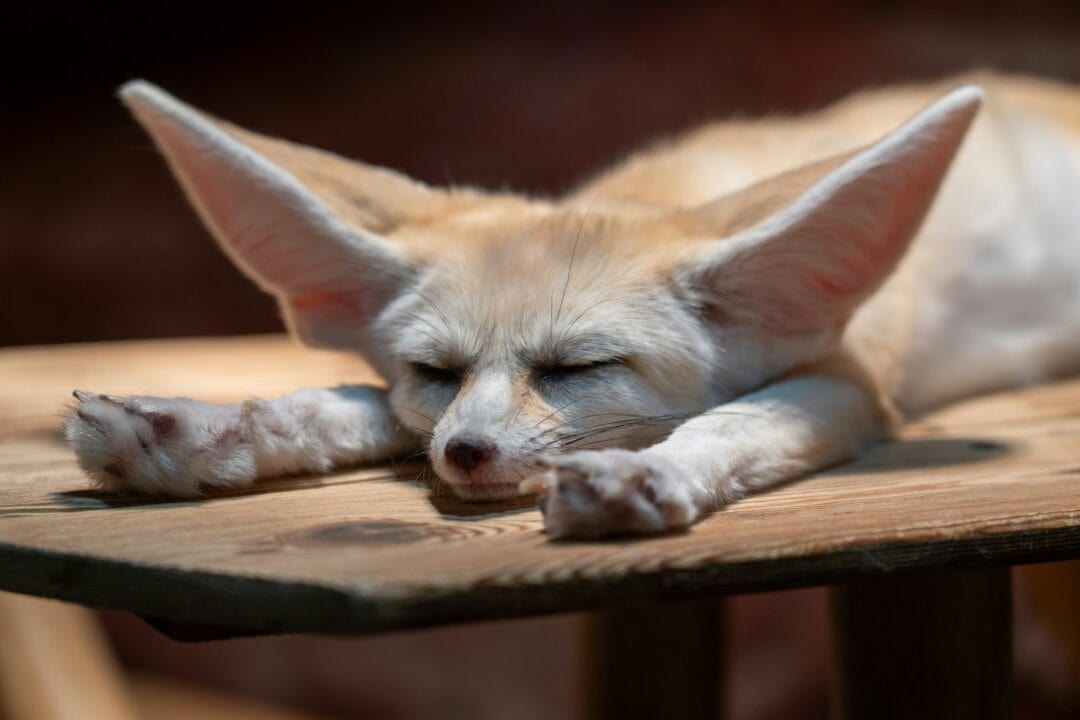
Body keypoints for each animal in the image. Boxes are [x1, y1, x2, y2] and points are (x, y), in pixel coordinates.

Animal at [65, 73, 1080, 538]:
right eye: (434, 371)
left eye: (579, 368)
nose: (468, 454)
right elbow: (354, 403)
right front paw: (199, 430)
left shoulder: (854, 378)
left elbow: (733, 423)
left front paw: (646, 476)